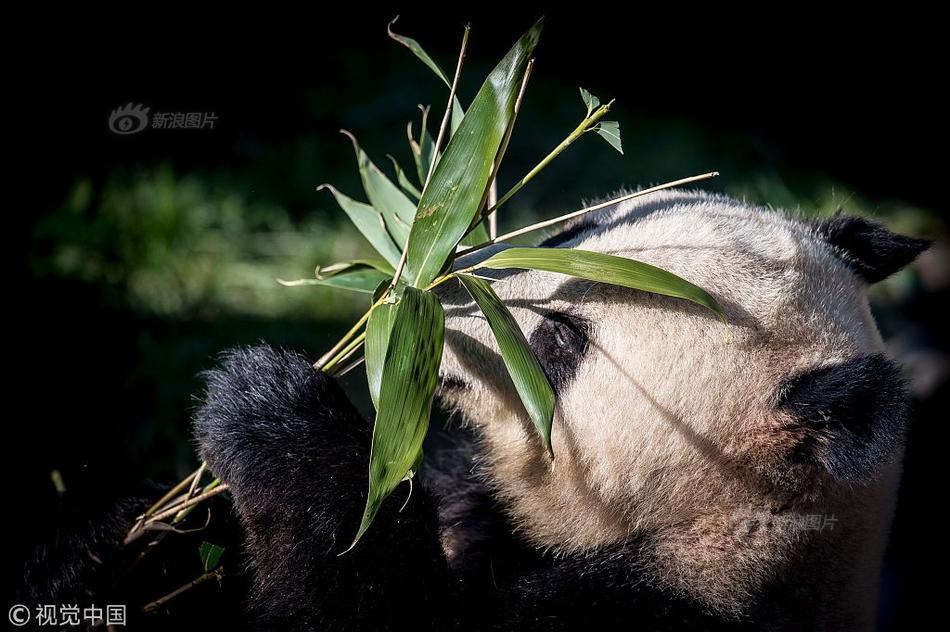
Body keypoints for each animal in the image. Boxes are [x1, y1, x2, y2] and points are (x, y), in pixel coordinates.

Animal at [20, 190, 928, 628]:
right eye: (570, 233)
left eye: (561, 341)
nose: (436, 290)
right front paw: (122, 544)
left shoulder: (664, 606)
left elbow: (359, 606)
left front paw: (268, 409)